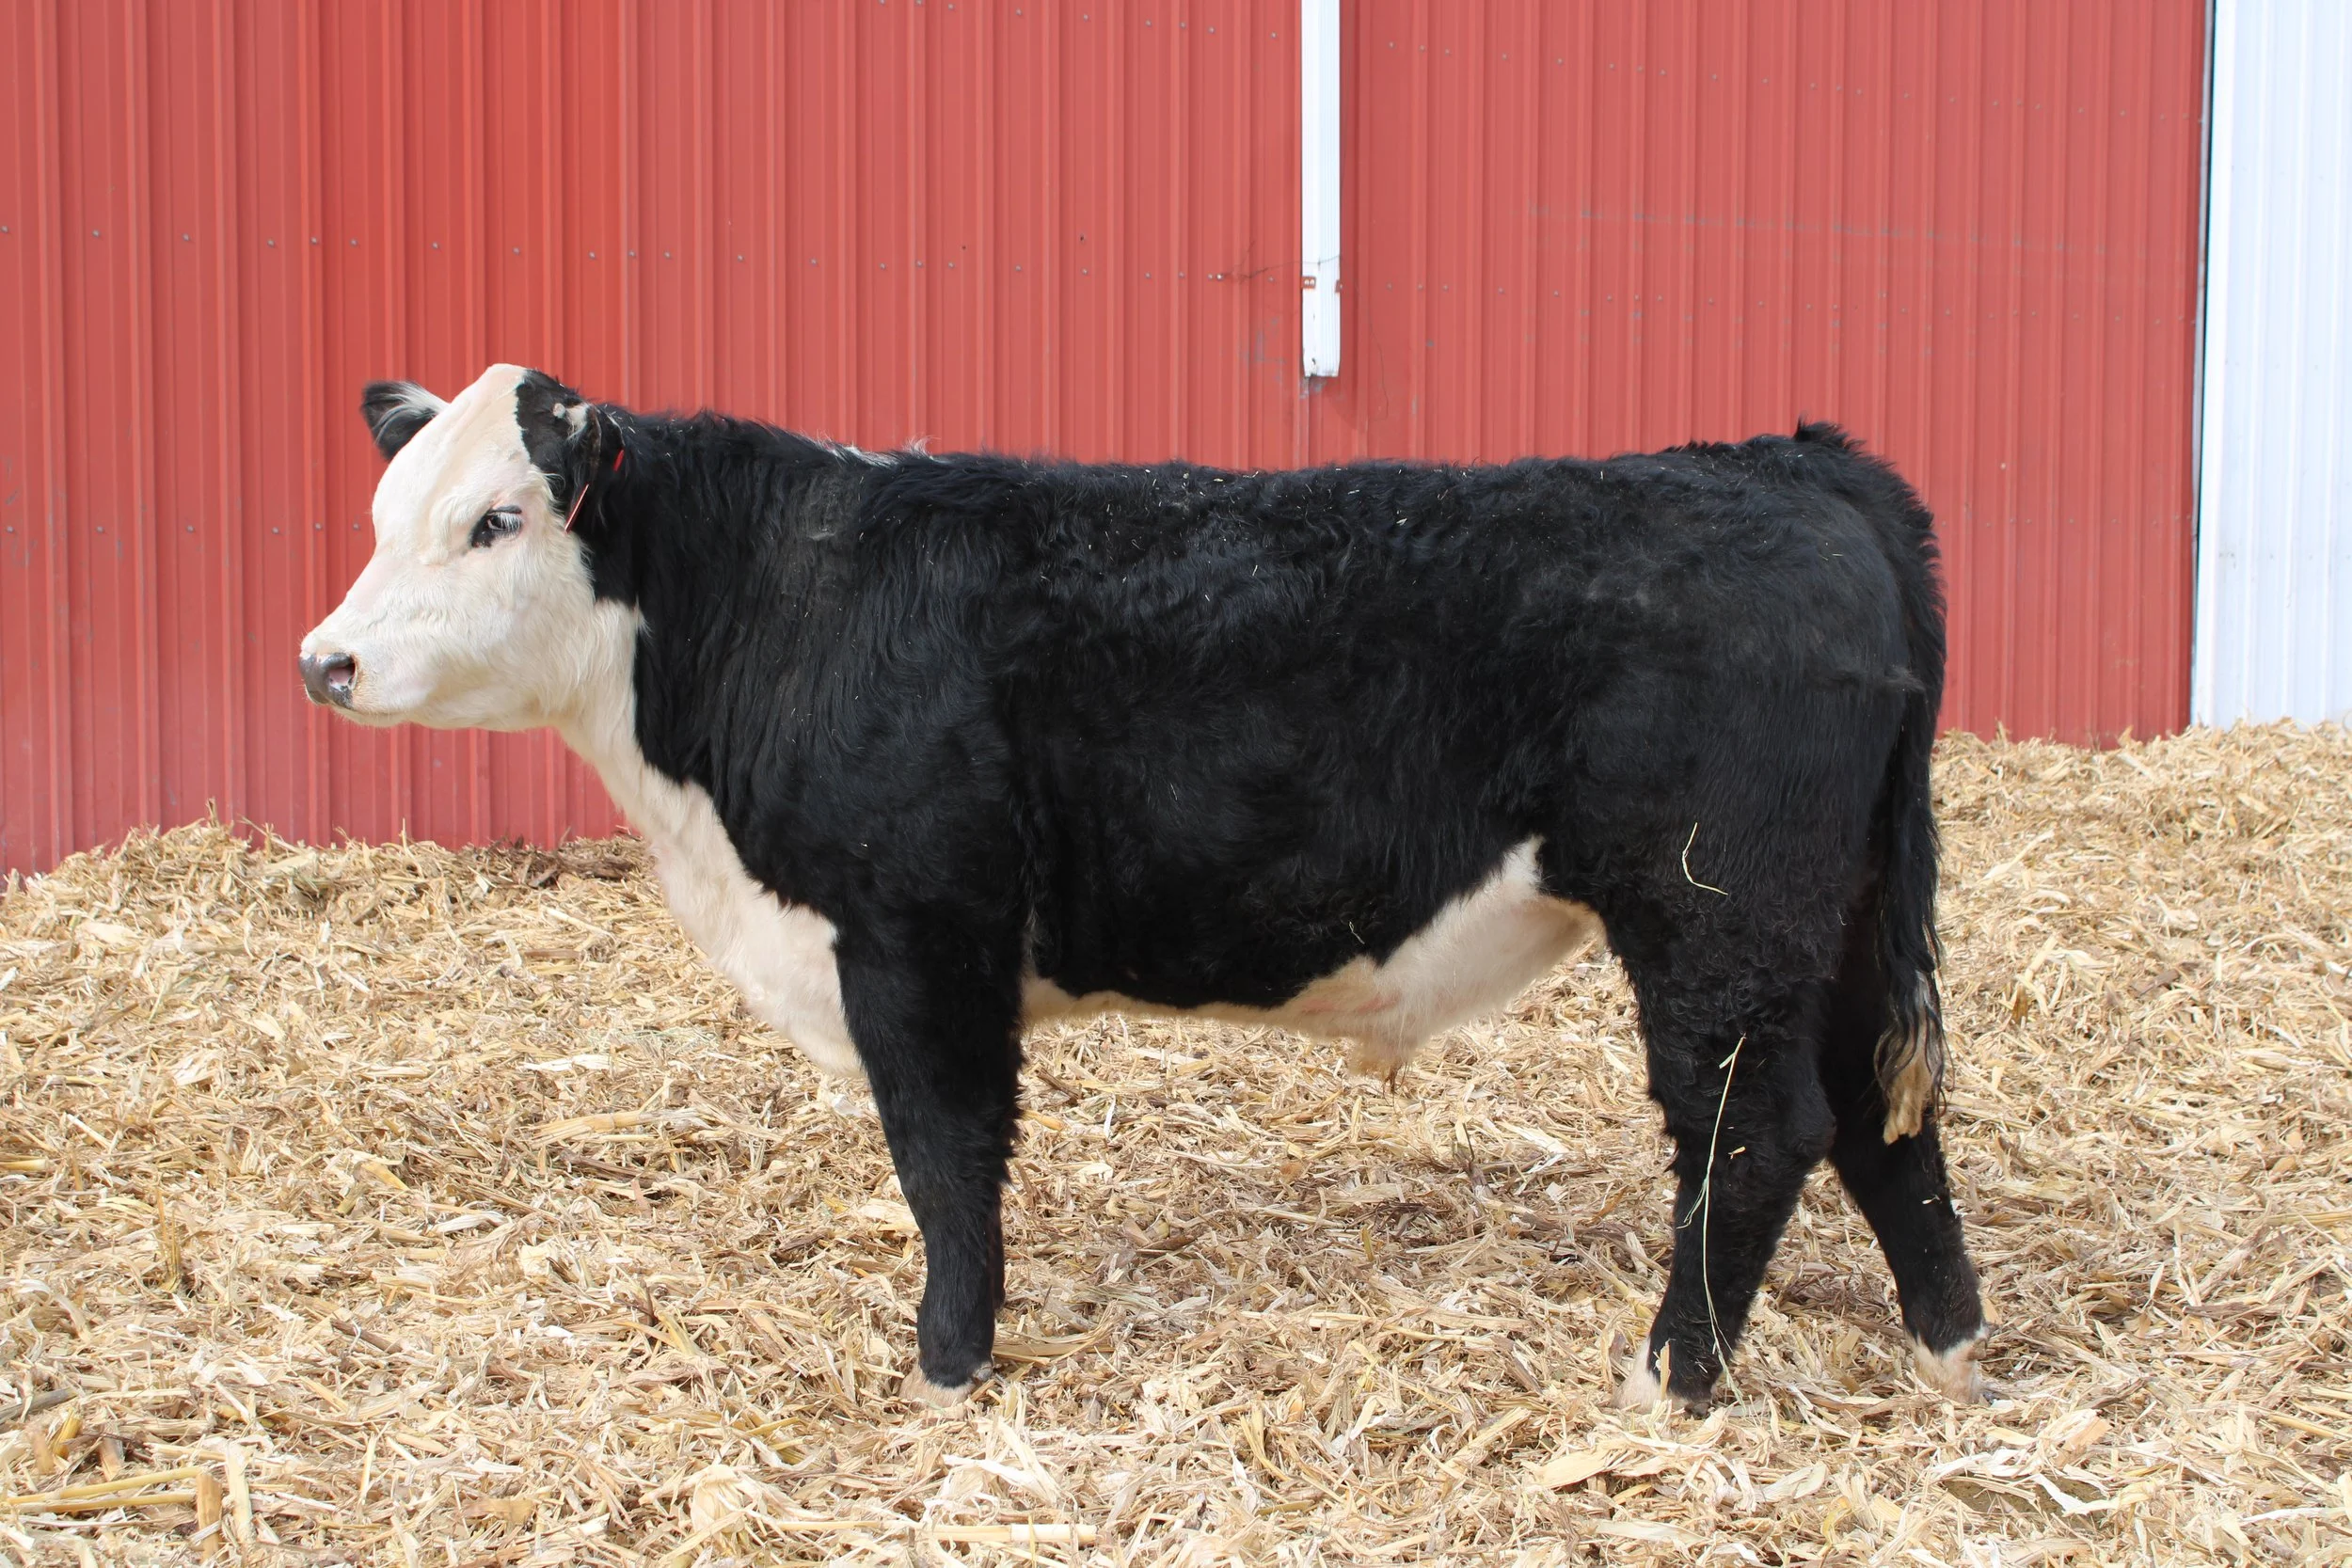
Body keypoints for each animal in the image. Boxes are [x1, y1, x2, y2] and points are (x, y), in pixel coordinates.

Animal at [300, 363, 1987, 1412]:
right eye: (381, 516)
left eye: (496, 518)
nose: (327, 660)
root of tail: (1791, 462)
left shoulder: (922, 937)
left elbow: (946, 1156)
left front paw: (948, 1362)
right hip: (1837, 917)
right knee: (1884, 1115)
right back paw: (1952, 1344)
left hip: (1717, 913)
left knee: (1754, 1128)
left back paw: (1671, 1374)